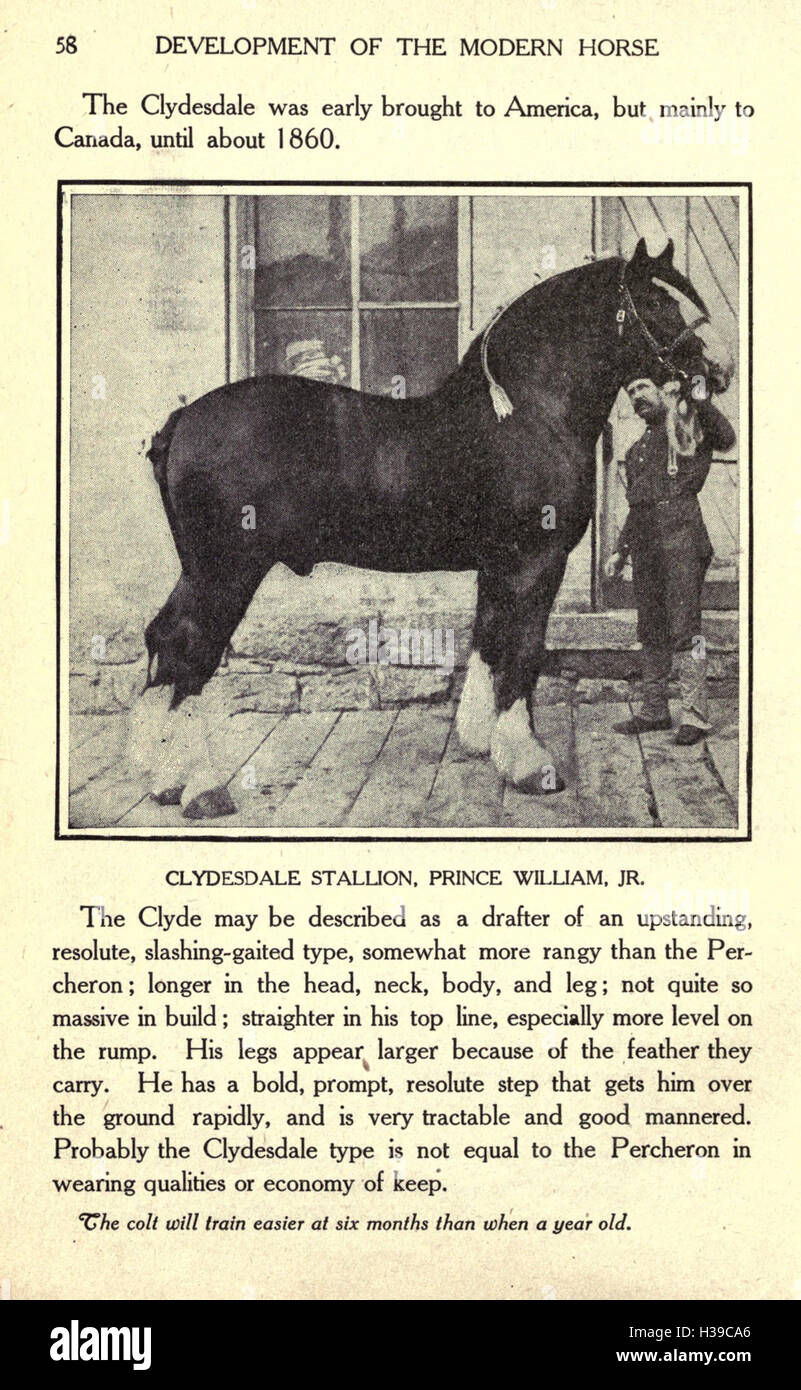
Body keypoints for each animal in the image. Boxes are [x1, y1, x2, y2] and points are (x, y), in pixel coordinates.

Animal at [129, 236, 734, 819]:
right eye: (657, 302)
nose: (720, 369)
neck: (529, 414)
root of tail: (183, 420)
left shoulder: (499, 565)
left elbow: (488, 640)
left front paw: (482, 740)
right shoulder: (536, 560)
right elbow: (524, 650)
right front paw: (529, 763)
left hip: (201, 570)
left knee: (164, 637)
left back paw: (164, 780)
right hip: (226, 571)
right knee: (190, 647)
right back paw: (202, 789)